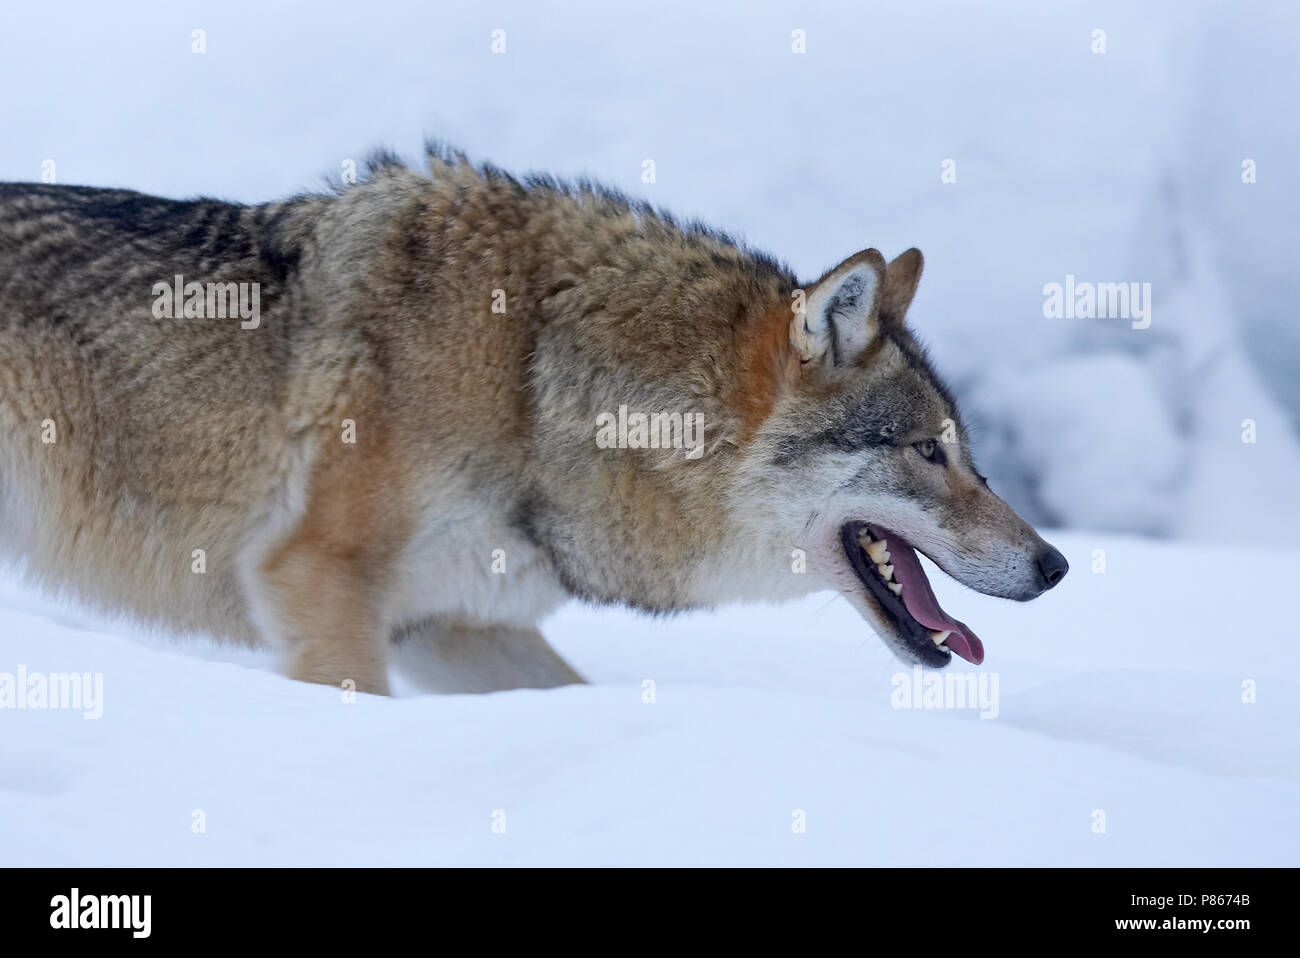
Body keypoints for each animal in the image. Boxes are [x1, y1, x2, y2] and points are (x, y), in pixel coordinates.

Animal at [0, 145, 1067, 694]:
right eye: (928, 451)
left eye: (967, 452)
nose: (1057, 566)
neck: (533, 383)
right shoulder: (319, 583)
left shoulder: (451, 626)